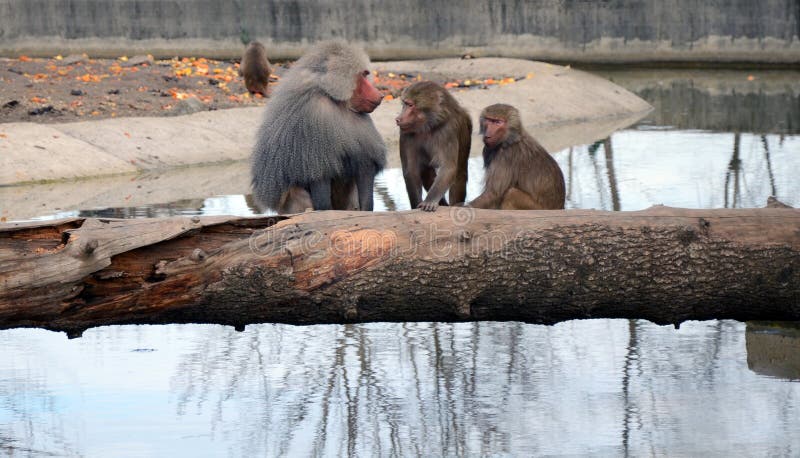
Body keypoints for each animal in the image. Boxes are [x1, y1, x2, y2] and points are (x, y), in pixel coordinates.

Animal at [251, 41, 386, 213]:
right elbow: (319, 175)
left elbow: (365, 164)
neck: (332, 98)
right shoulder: (315, 115)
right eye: (363, 75)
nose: (380, 95)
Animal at [395, 81, 471, 212]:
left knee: (459, 174)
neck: (429, 126)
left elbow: (448, 168)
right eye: (404, 104)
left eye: (410, 105)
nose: (398, 119)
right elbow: (411, 171)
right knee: (427, 172)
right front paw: (416, 205)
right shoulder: (406, 133)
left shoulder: (448, 131)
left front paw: (429, 201)